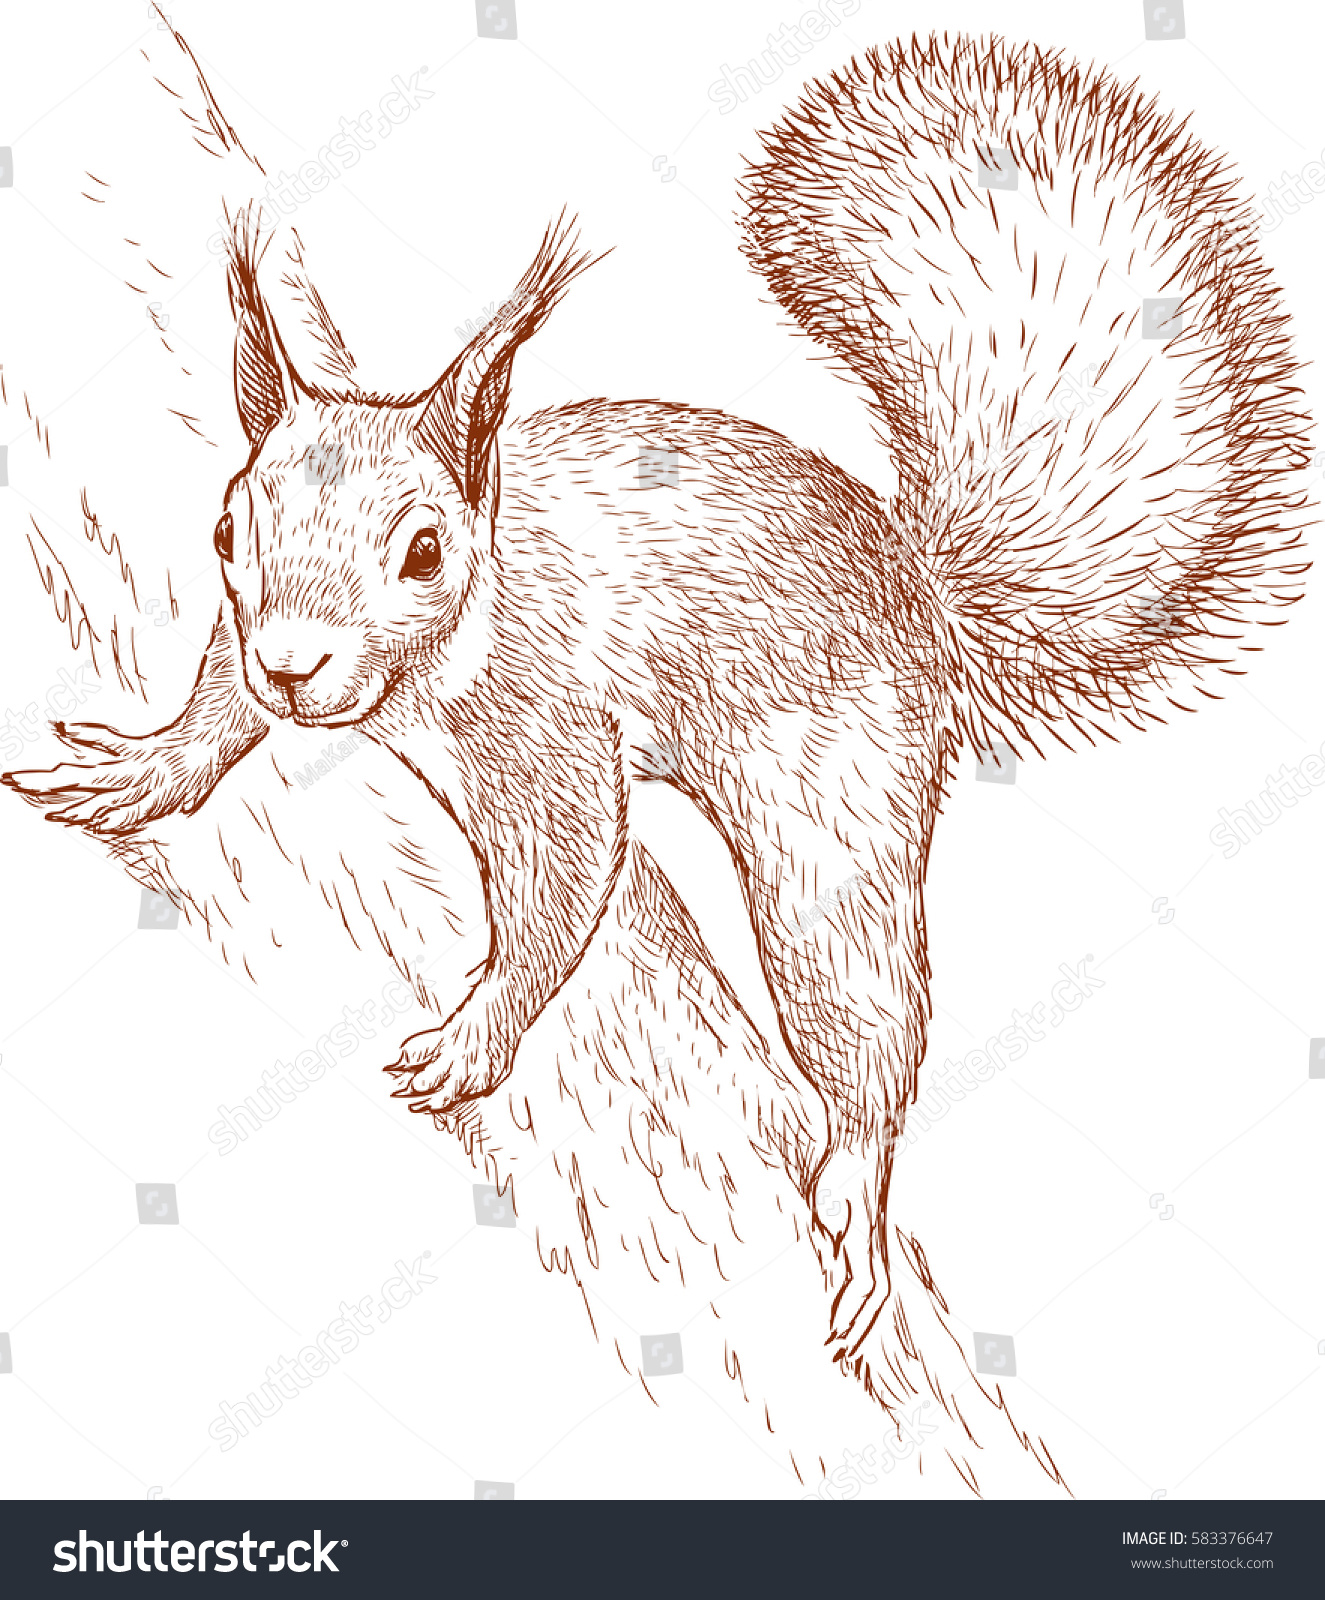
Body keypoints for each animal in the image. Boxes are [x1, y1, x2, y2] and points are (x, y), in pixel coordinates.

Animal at [5, 34, 1309, 1361]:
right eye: (226, 530)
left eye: (423, 551)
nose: (297, 663)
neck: (443, 651)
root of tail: (920, 594)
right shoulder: (244, 637)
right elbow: (216, 708)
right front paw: (143, 768)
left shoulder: (550, 729)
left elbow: (563, 880)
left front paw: (477, 1033)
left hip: (830, 819)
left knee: (867, 1016)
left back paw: (858, 1188)